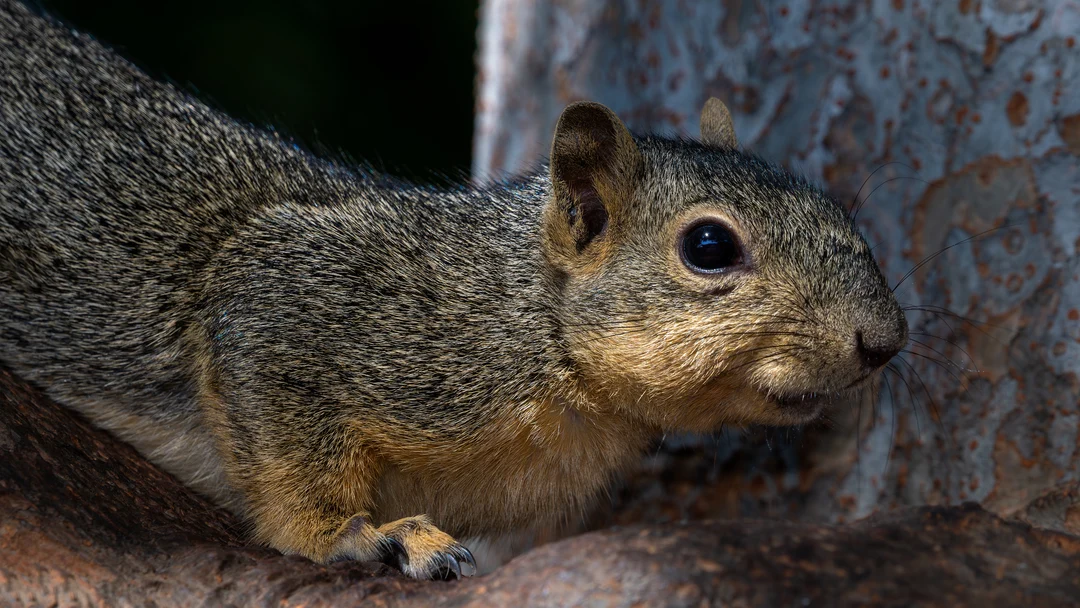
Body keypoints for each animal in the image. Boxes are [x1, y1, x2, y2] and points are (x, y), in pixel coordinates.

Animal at [0, 0, 908, 579]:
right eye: (710, 246)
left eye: (837, 207)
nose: (884, 341)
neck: (540, 334)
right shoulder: (312, 299)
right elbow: (290, 449)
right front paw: (353, 538)